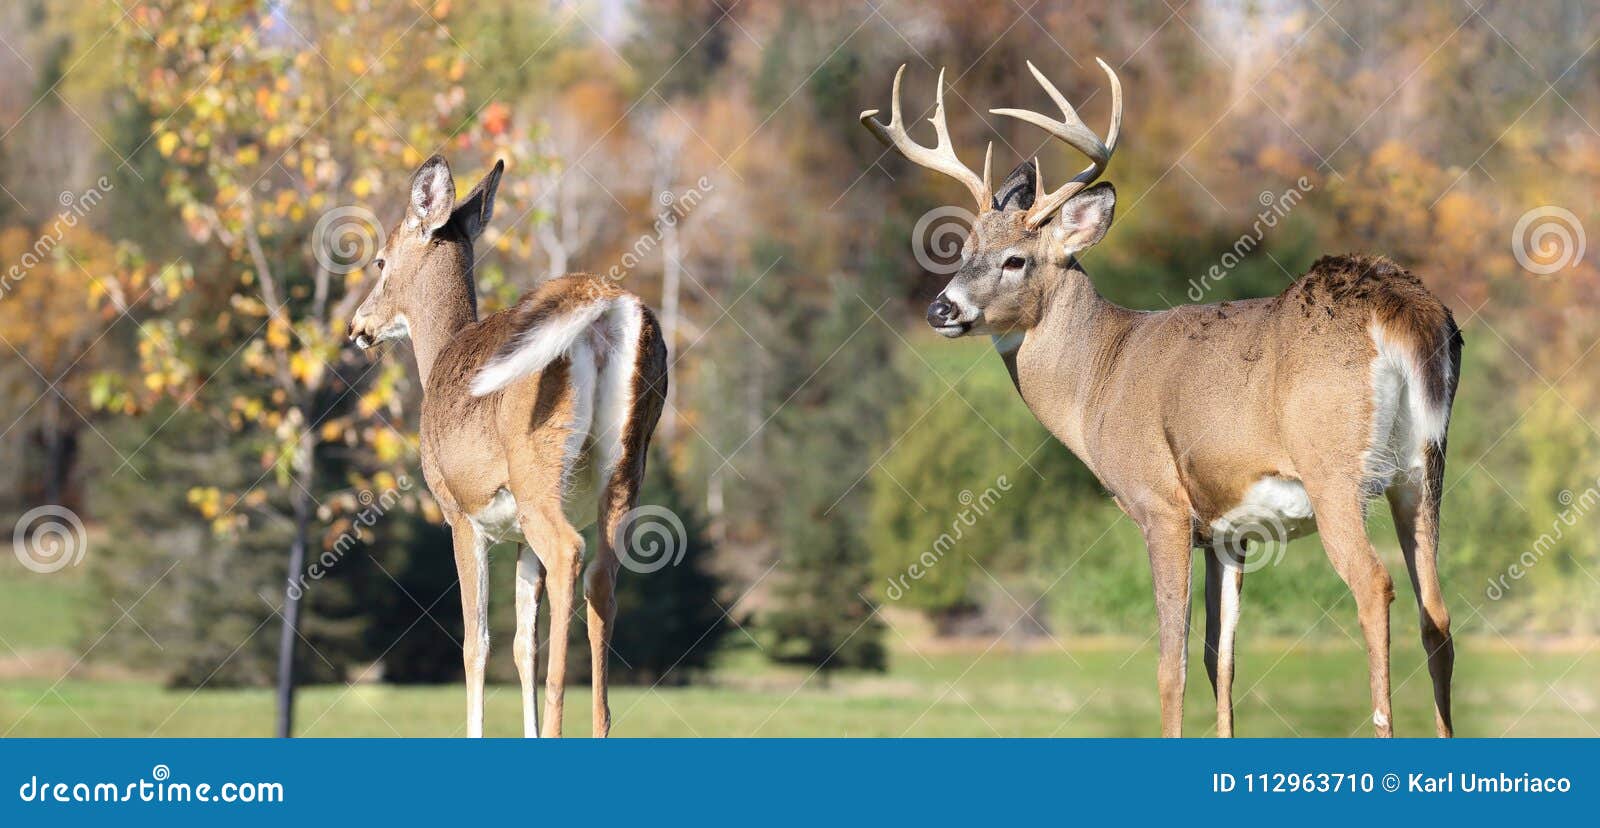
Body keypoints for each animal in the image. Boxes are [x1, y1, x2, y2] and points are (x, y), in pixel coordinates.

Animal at [347, 155, 668, 737]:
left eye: (380, 260)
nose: (357, 326)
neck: (440, 355)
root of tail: (603, 306)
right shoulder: (517, 534)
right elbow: (523, 644)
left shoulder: (459, 512)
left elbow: (476, 644)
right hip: (629, 464)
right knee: (602, 577)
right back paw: (600, 726)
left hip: (537, 463)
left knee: (569, 553)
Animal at [862, 60, 1462, 737]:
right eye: (960, 251)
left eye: (1015, 260)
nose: (940, 309)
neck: (1099, 376)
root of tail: (1401, 309)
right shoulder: (1230, 529)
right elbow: (1220, 660)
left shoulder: (1161, 504)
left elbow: (1169, 665)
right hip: (1424, 467)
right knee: (1437, 615)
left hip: (1334, 468)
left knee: (1374, 585)